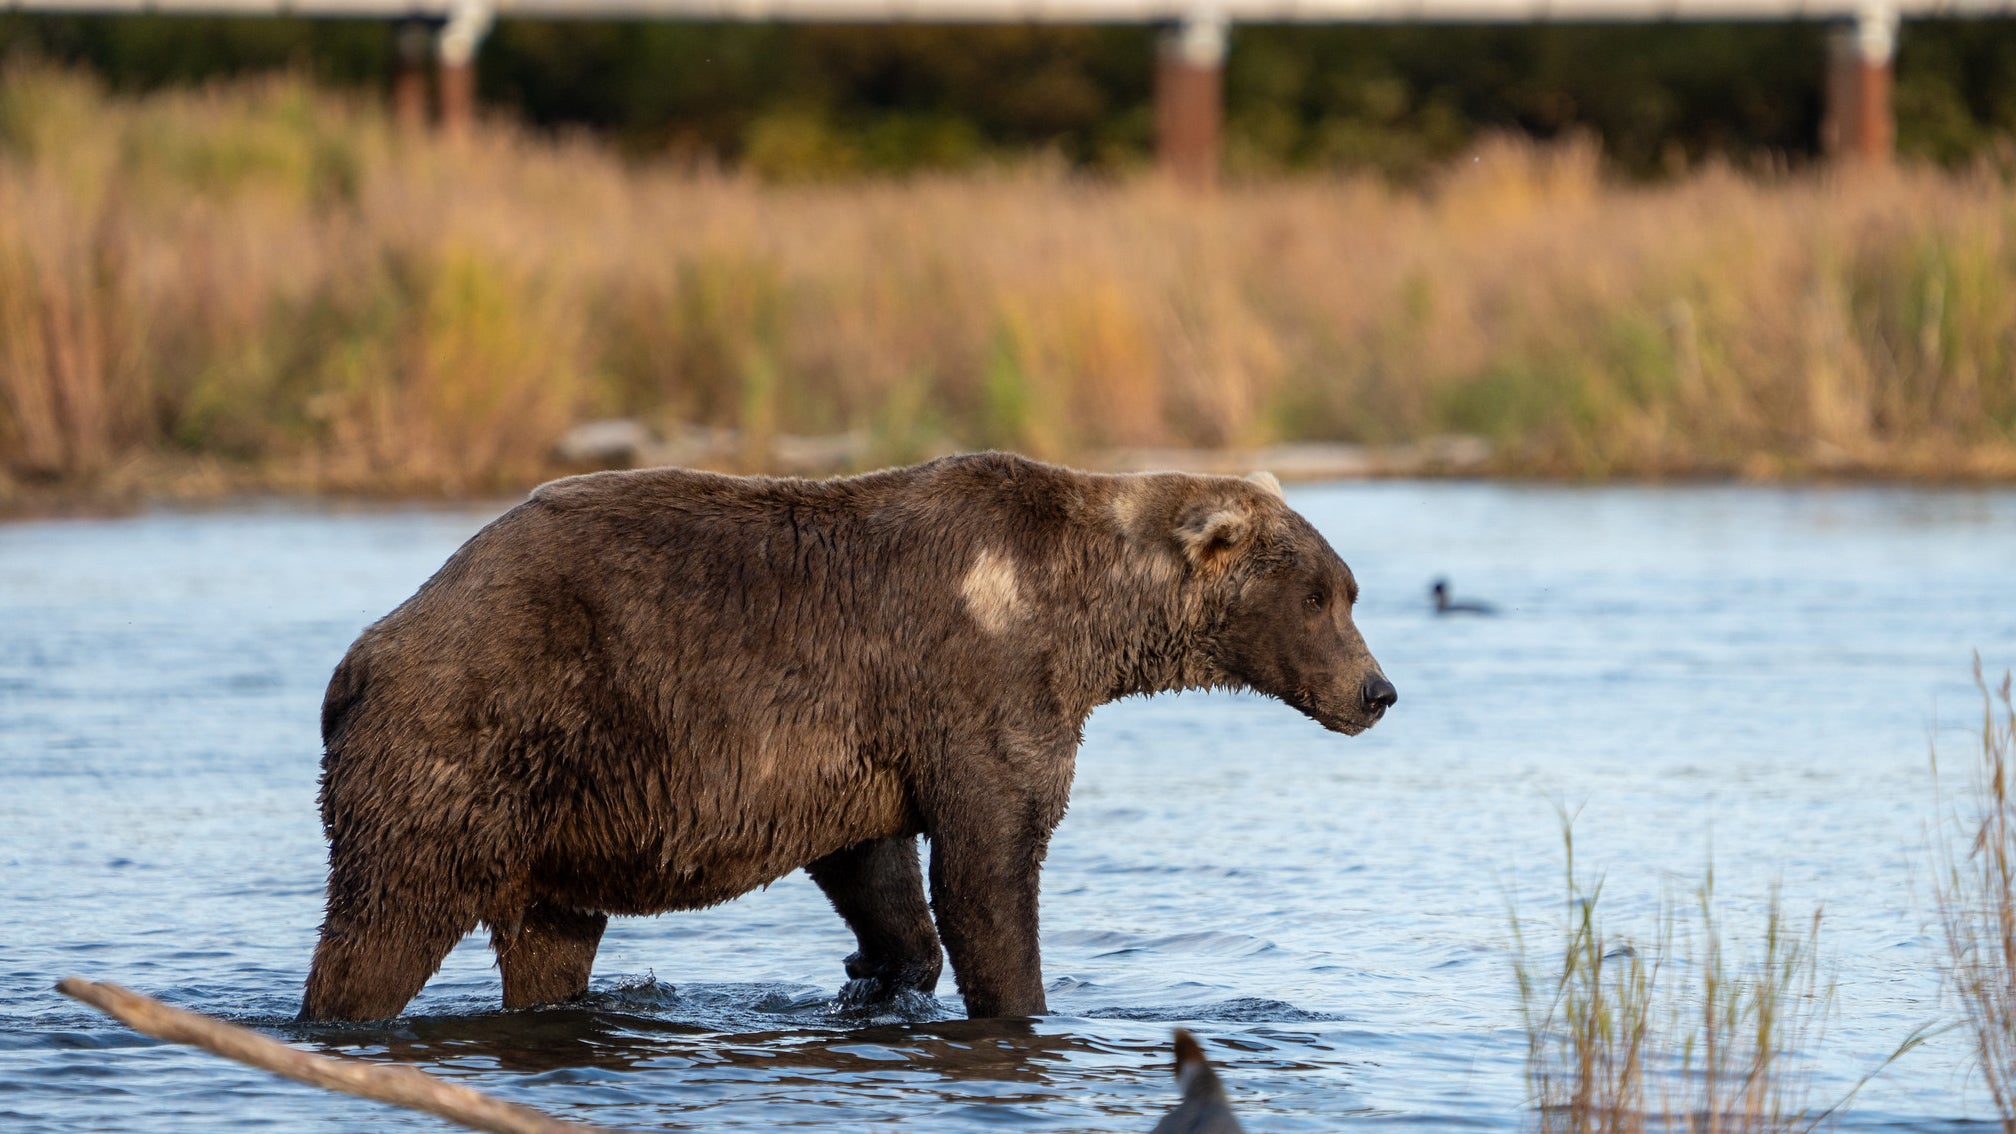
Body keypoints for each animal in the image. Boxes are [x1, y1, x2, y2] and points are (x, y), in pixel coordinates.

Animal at [300, 451, 1394, 1022]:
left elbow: (874, 867)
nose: (1376, 691)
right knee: (387, 917)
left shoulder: (864, 737)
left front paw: (878, 969)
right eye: (1319, 597)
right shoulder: (982, 682)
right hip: (474, 741)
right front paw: (1020, 1000)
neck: (1087, 615)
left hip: (558, 813)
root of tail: (365, 650)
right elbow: (991, 868)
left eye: (1347, 589)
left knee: (549, 938)